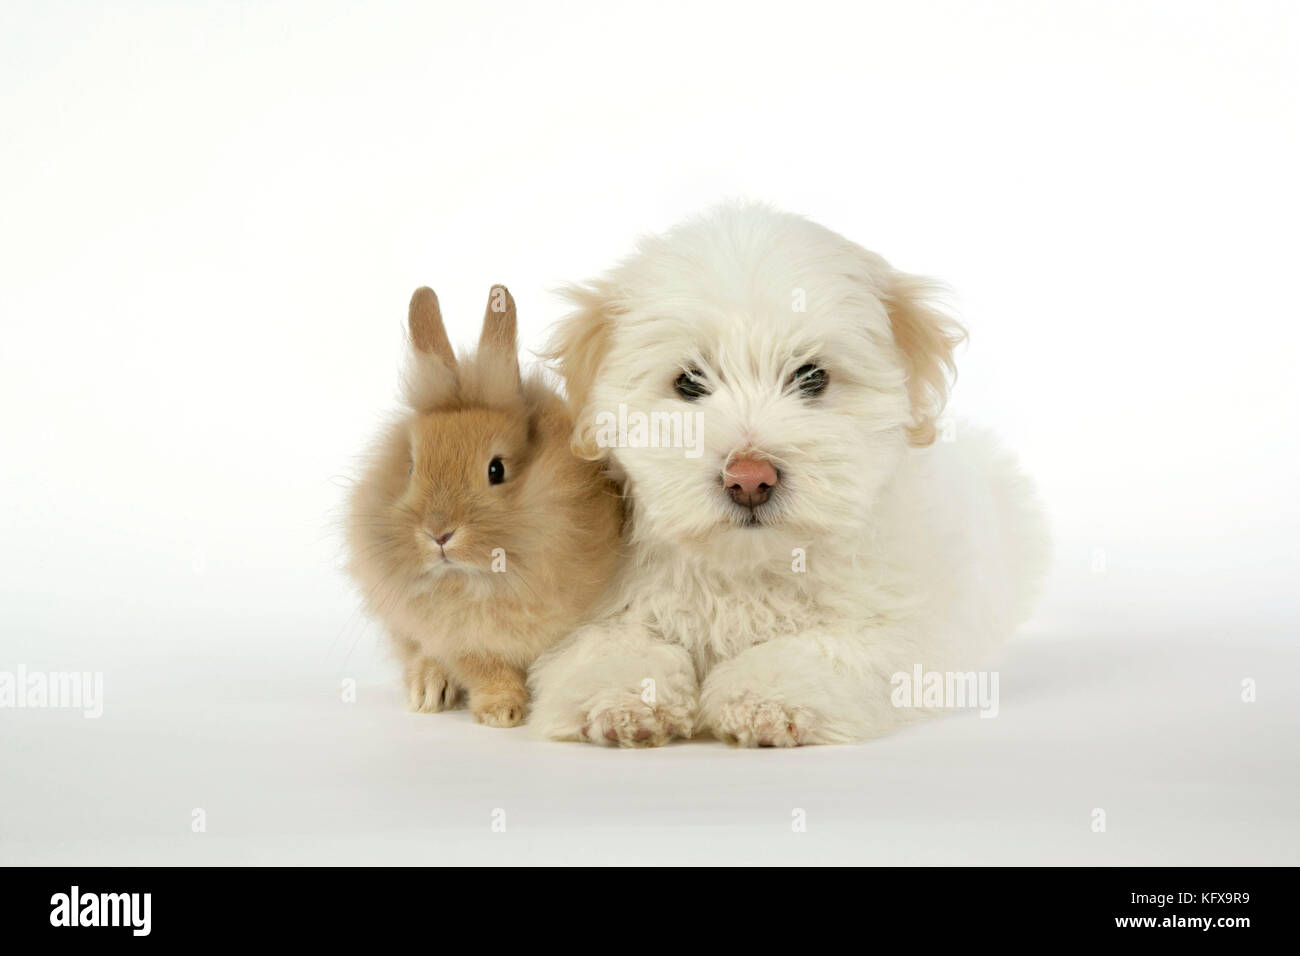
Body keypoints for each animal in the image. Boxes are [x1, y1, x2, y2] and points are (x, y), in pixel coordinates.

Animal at [346, 284, 623, 727]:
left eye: (497, 469)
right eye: (411, 467)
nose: (439, 534)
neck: (481, 582)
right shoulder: (461, 642)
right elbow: (487, 671)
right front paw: (502, 712)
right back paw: (428, 691)